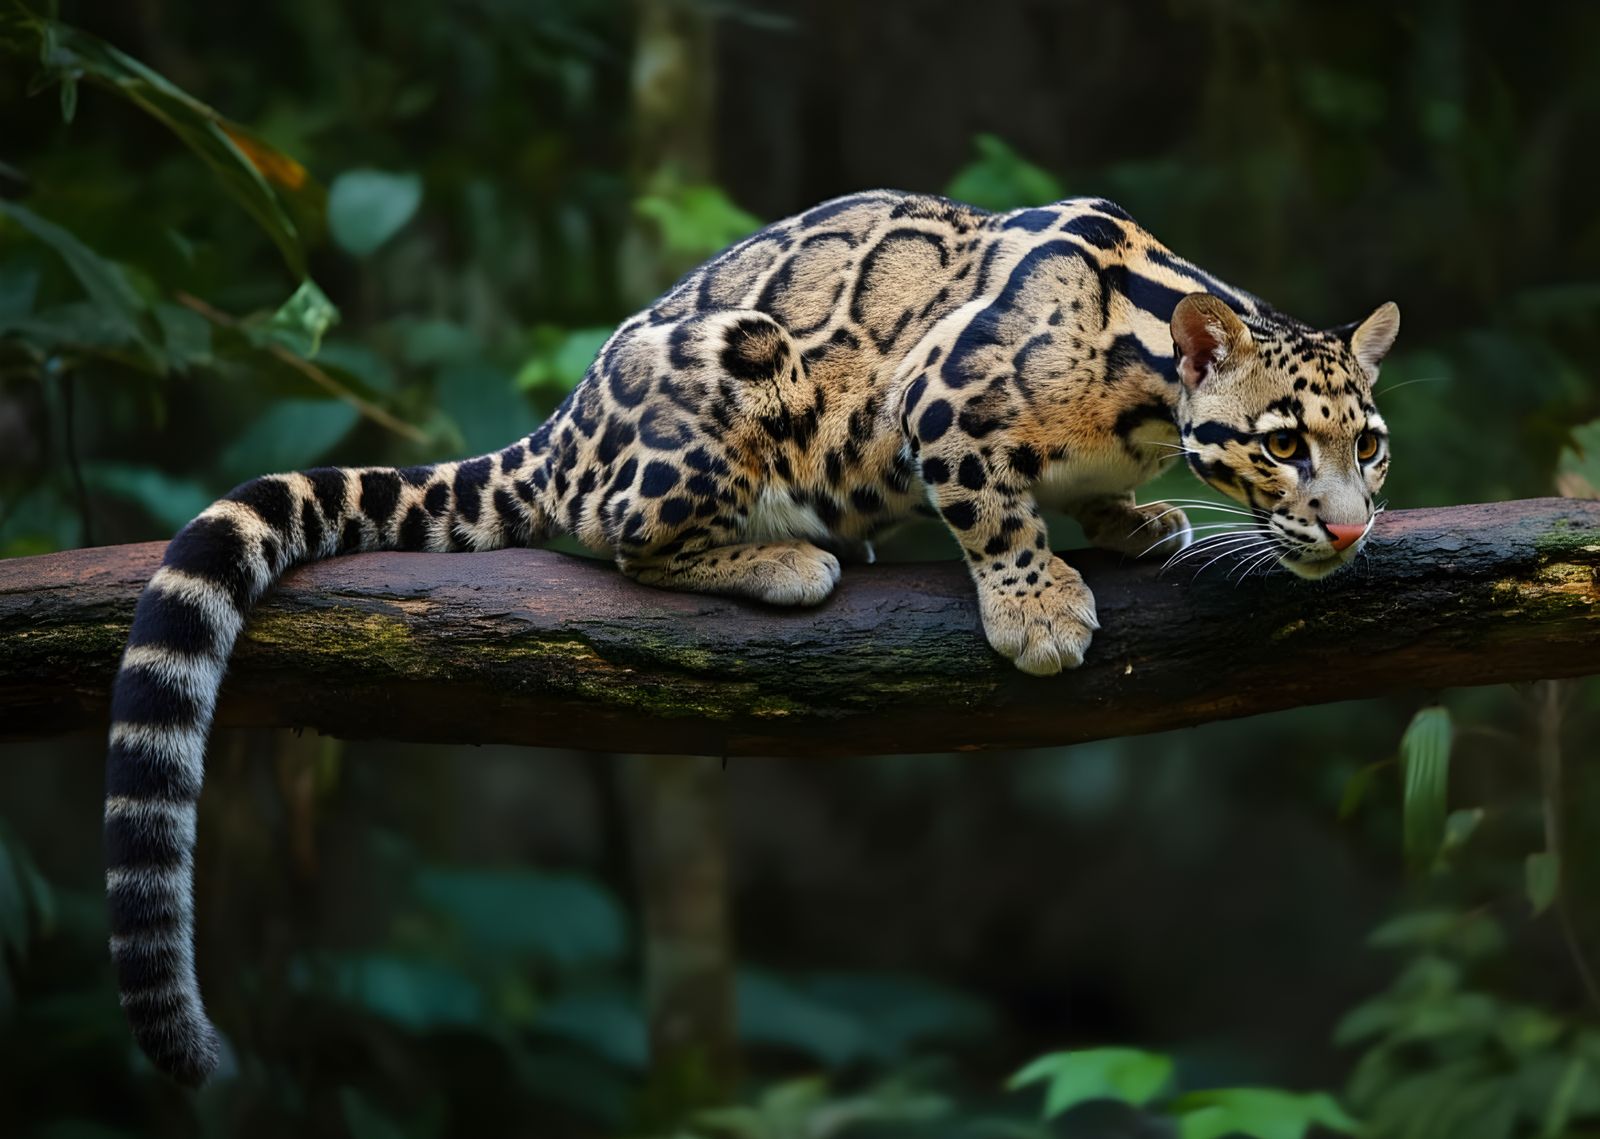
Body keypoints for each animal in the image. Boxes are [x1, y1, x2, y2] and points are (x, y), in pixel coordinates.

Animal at [102, 189, 1399, 1084]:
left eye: (1370, 445)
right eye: (1283, 443)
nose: (1346, 525)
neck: (1139, 377)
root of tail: (560, 427)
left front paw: (1134, 519)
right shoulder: (934, 397)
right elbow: (991, 503)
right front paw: (1034, 601)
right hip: (734, 370)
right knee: (626, 534)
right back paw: (788, 555)